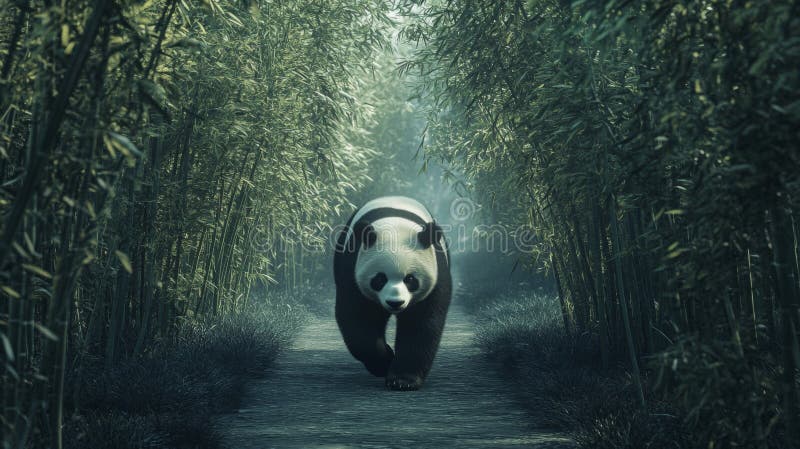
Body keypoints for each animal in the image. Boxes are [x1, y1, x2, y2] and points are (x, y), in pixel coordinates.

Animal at [334, 196, 452, 391]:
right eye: (380, 279)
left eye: (410, 279)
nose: (395, 303)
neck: (396, 229)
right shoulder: (351, 268)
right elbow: (357, 318)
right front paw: (384, 362)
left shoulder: (436, 272)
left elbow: (421, 323)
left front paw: (403, 380)